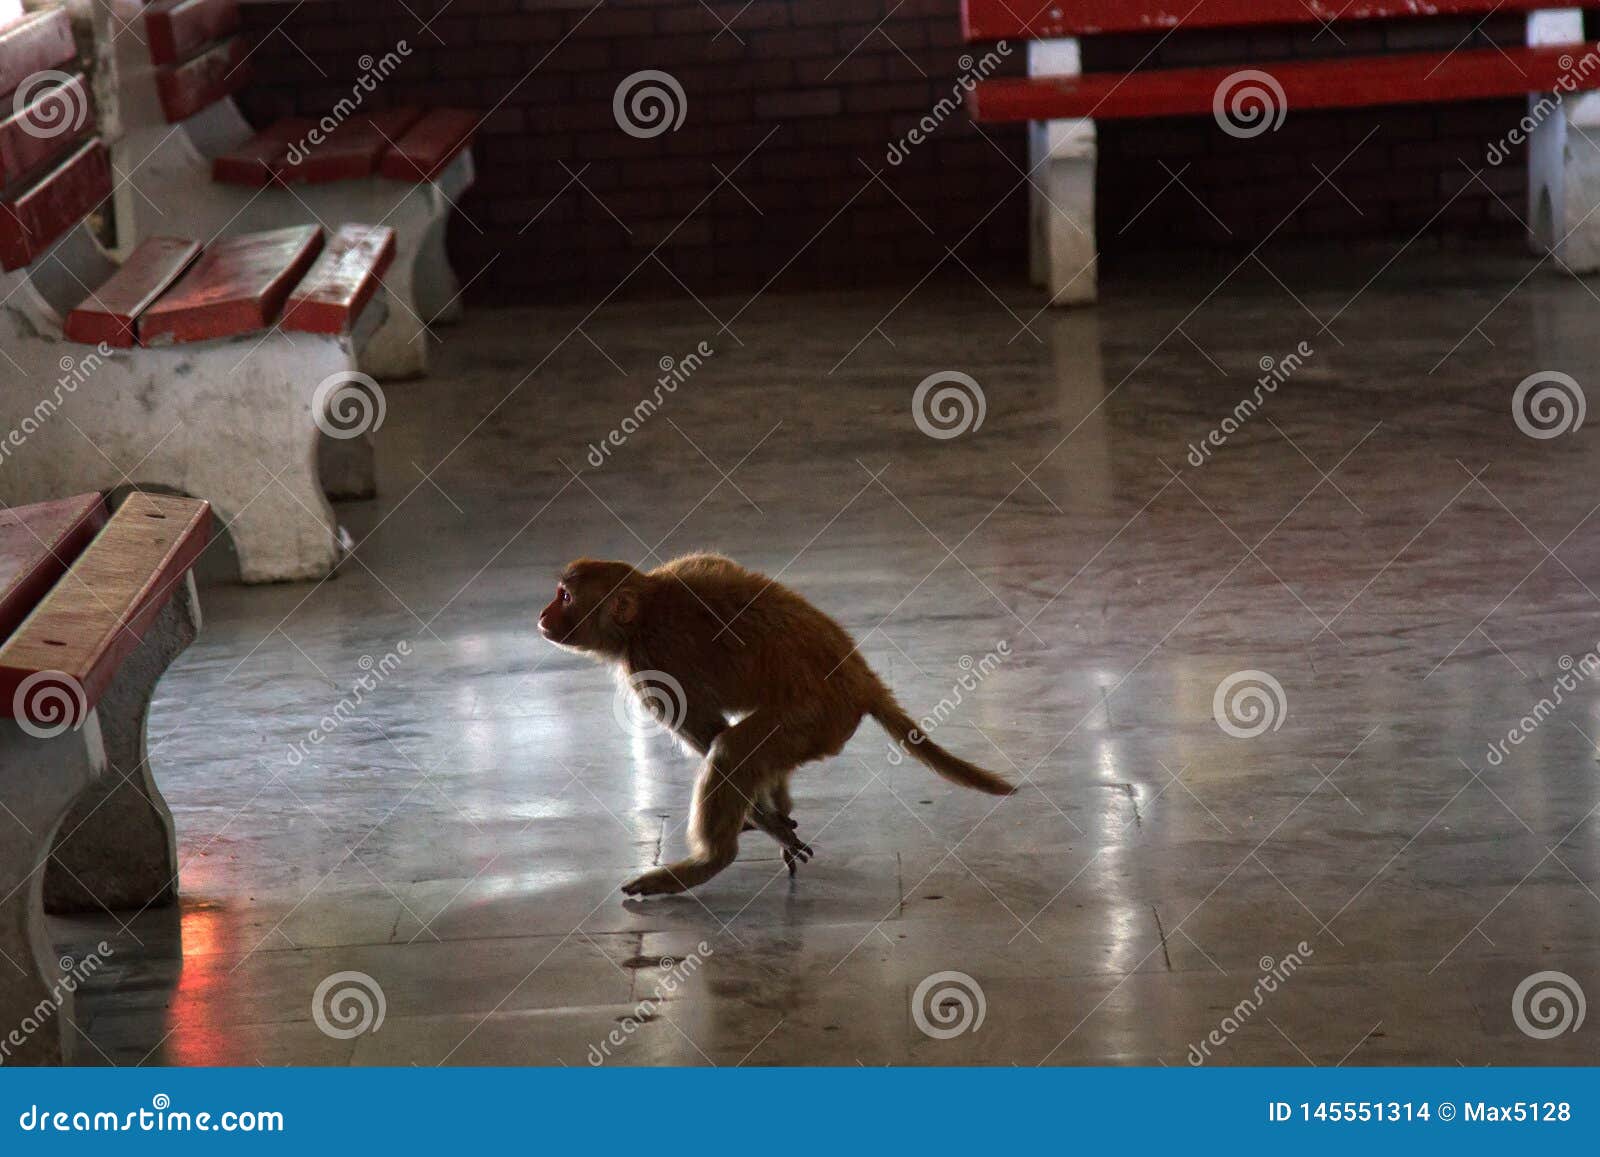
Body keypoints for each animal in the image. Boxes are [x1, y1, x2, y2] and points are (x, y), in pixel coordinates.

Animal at [538, 553, 1015, 898]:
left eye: (565, 598)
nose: (543, 615)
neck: (646, 610)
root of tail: (862, 680)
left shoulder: (652, 662)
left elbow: (708, 730)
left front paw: (768, 825)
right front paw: (772, 817)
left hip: (820, 719)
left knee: (731, 749)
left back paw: (711, 860)